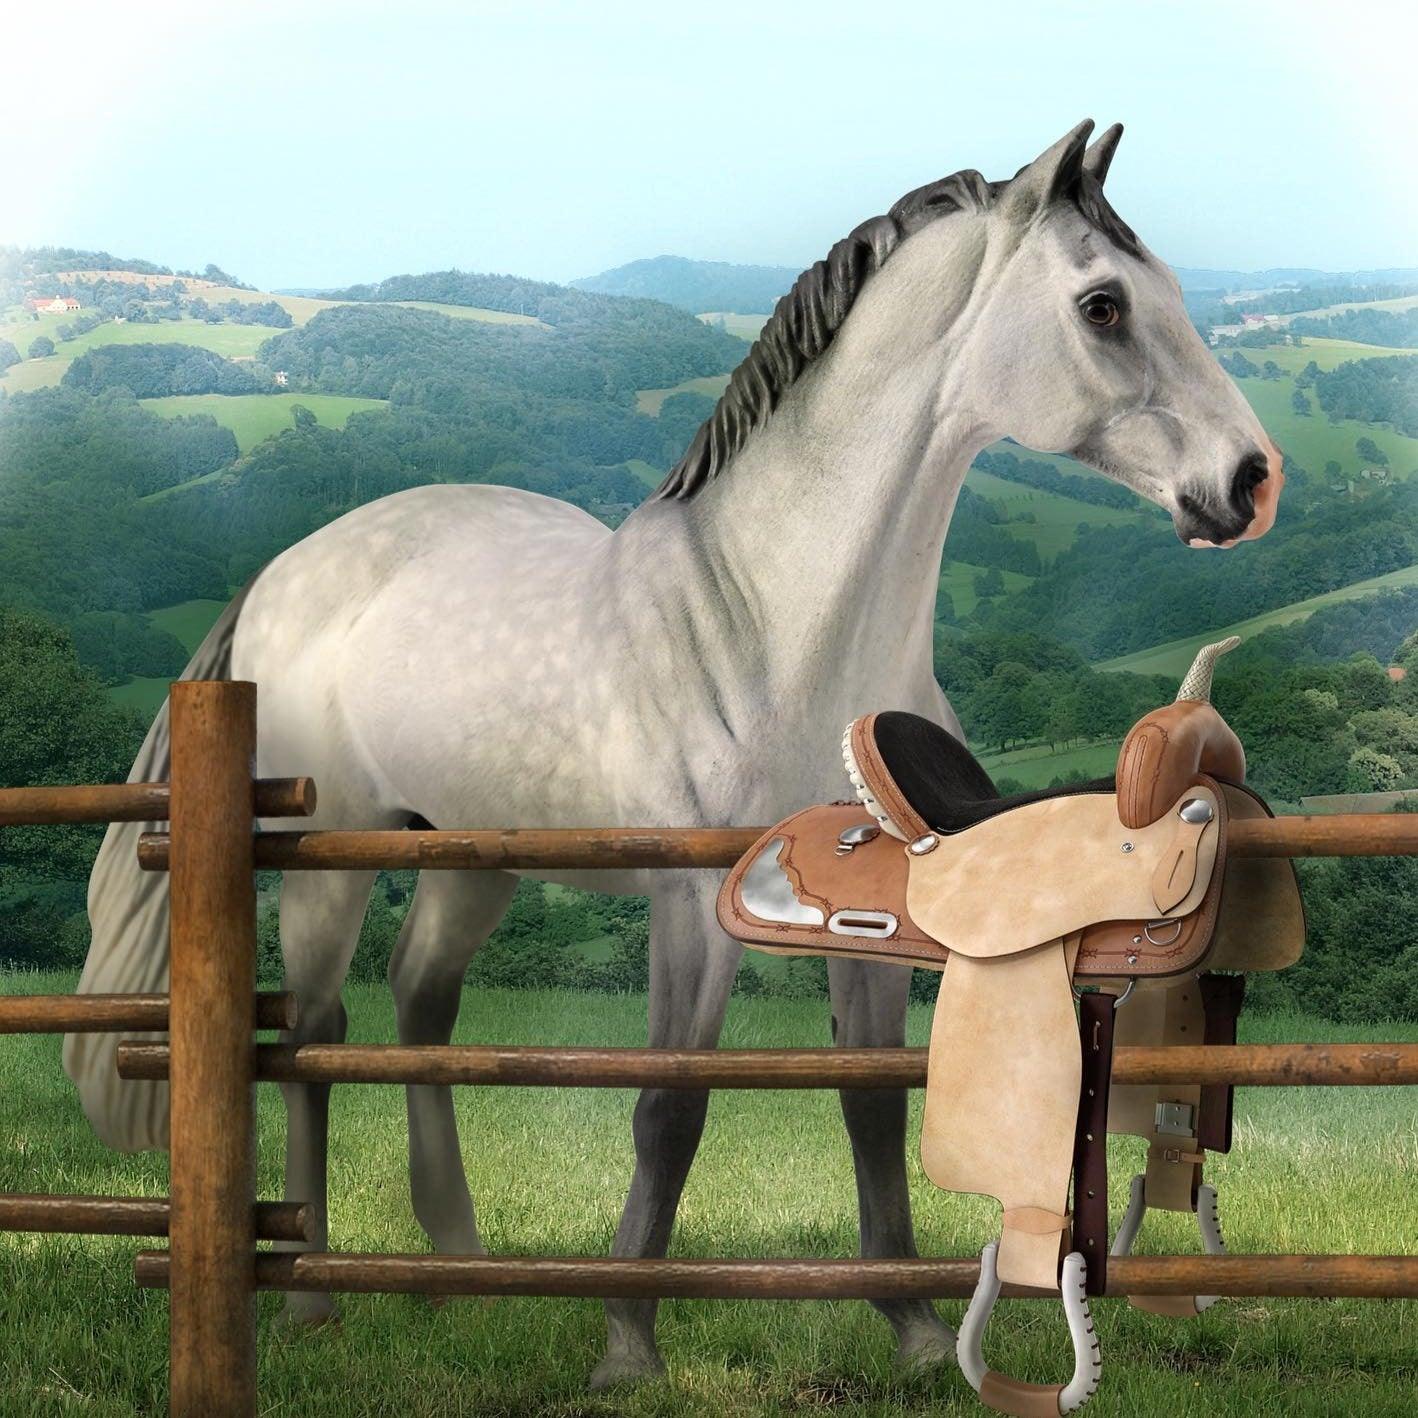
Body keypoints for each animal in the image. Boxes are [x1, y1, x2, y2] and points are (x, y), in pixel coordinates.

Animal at [65, 119, 1284, 1387]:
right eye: (1101, 305)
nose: (1249, 481)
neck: (768, 628)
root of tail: (283, 569)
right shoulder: (693, 907)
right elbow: (669, 1108)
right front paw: (625, 1343)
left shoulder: (877, 914)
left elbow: (872, 1104)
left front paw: (904, 1324)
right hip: (331, 859)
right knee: (316, 1034)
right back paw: (315, 1300)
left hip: (471, 860)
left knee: (422, 1009)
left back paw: (464, 1271)